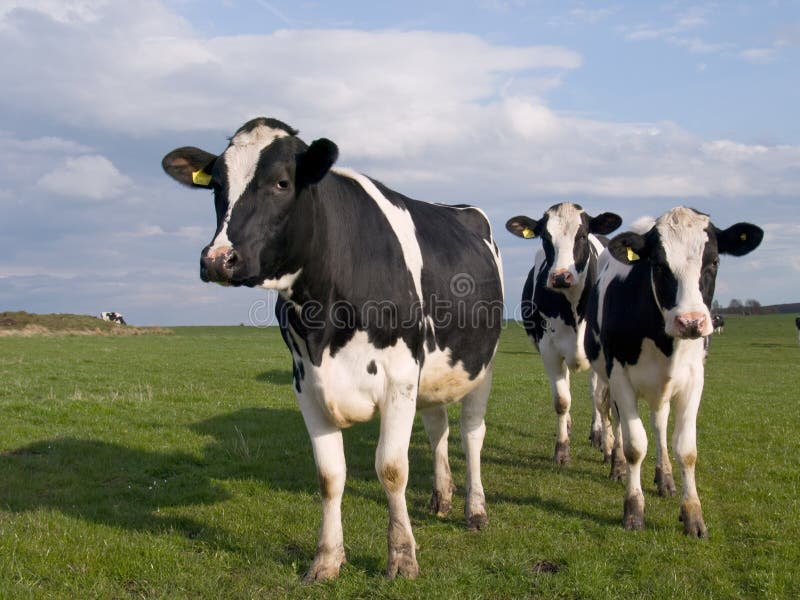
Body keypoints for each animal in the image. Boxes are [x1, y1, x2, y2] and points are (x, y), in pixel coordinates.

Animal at [162, 117, 504, 581]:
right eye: (217, 185)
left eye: (282, 182)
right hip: (432, 375)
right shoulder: (307, 384)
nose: (217, 259)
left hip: (481, 366)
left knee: (471, 434)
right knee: (438, 429)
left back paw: (475, 510)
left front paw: (401, 557)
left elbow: (392, 469)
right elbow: (329, 476)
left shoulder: (399, 379)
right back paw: (442, 498)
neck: (323, 316)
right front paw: (326, 559)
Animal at [506, 203, 622, 465]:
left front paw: (610, 449)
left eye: (582, 235)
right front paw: (561, 450)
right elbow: (561, 400)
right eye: (545, 237)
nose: (560, 276)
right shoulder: (549, 349)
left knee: (594, 394)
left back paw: (598, 434)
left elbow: (604, 402)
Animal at [584, 206, 762, 537]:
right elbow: (634, 445)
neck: (665, 341)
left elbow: (686, 448)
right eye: (658, 265)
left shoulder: (694, 380)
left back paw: (664, 476)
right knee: (612, 415)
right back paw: (617, 465)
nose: (690, 322)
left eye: (714, 261)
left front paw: (692, 514)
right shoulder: (620, 377)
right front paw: (633, 509)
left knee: (659, 424)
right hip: (605, 376)